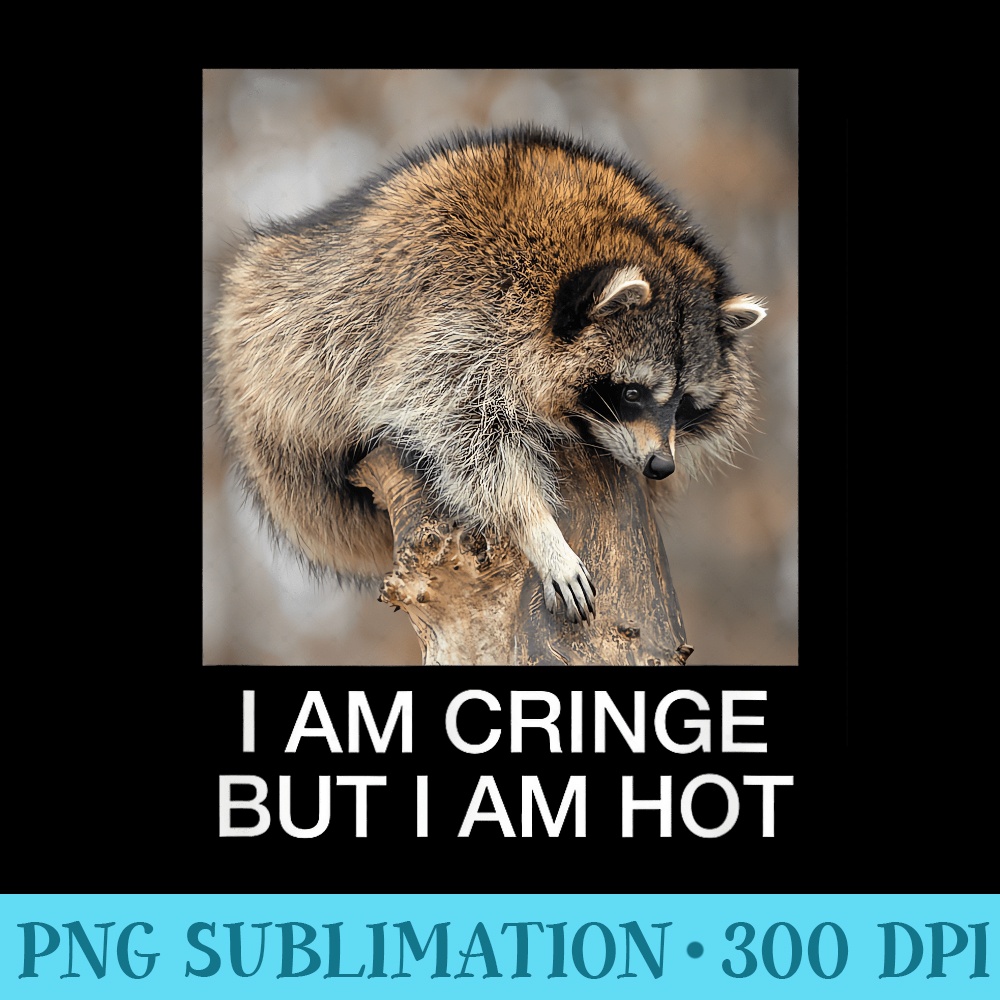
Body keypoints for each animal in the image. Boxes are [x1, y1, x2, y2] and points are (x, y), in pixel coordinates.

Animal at [209, 126, 765, 624]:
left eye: (685, 405)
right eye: (631, 392)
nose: (661, 466)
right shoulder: (458, 326)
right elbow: (469, 438)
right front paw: (537, 528)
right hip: (276, 361)